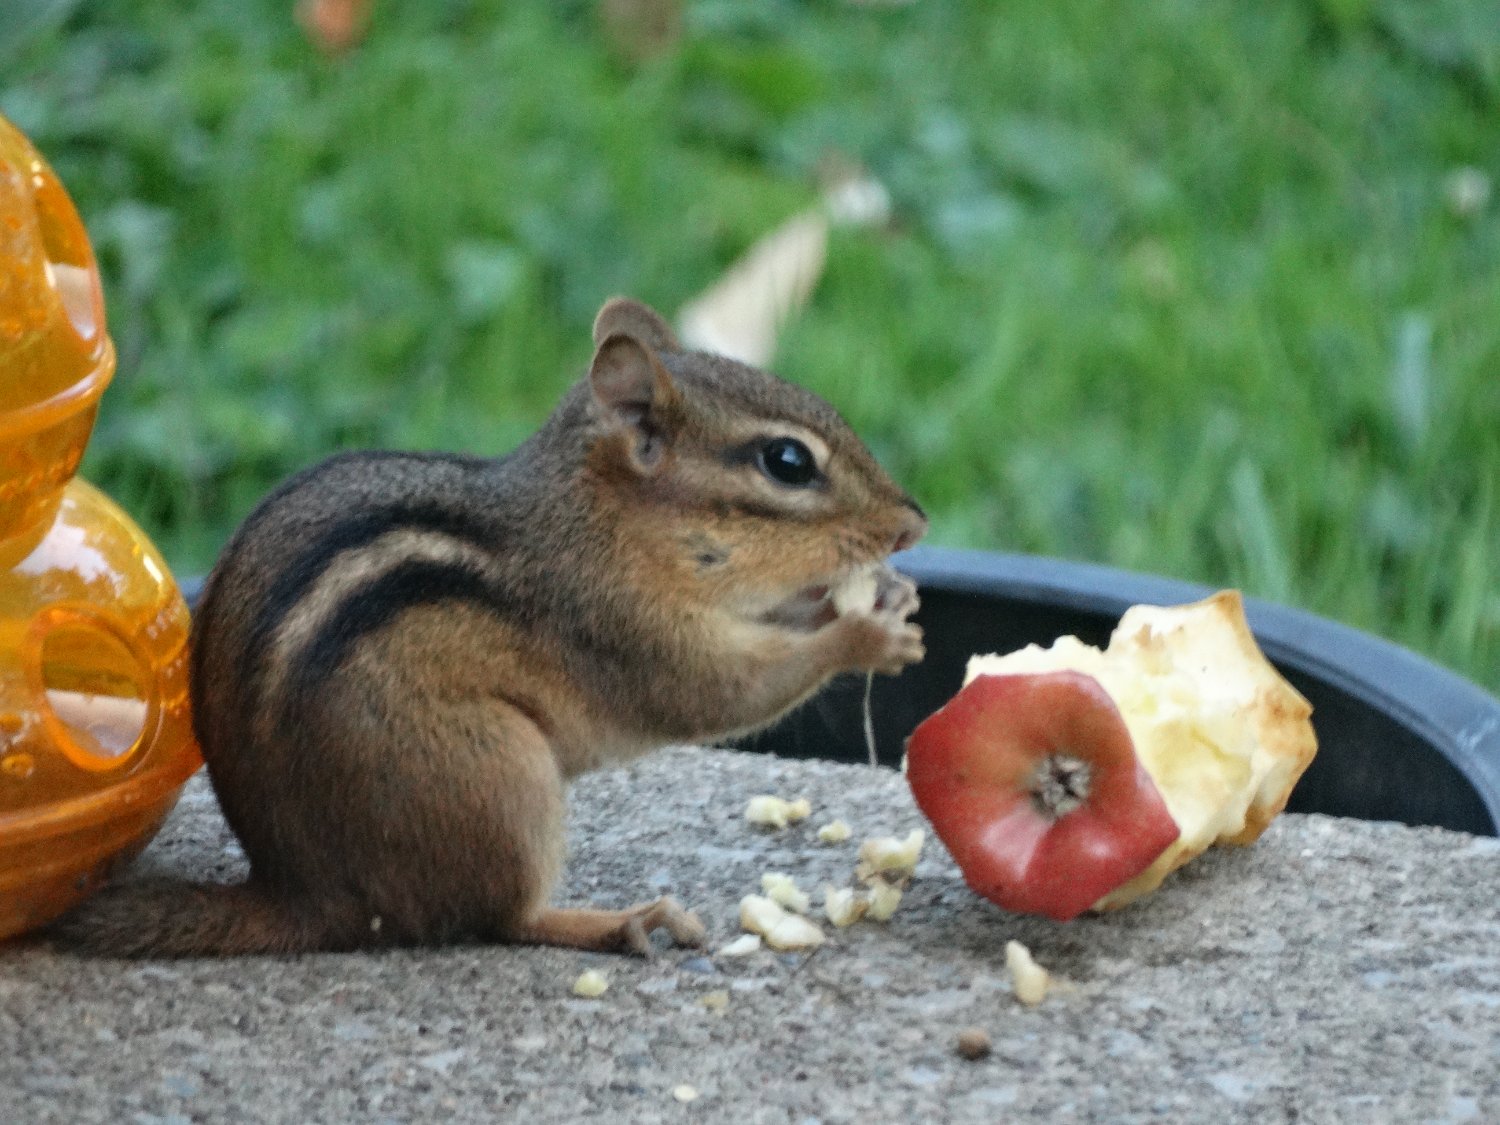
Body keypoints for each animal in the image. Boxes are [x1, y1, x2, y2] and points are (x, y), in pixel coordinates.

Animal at [55, 297, 927, 957]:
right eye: (787, 462)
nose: (913, 522)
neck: (601, 525)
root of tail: (301, 891)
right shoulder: (623, 629)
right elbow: (722, 695)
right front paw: (866, 638)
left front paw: (889, 599)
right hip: (497, 777)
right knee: (502, 917)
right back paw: (619, 920)